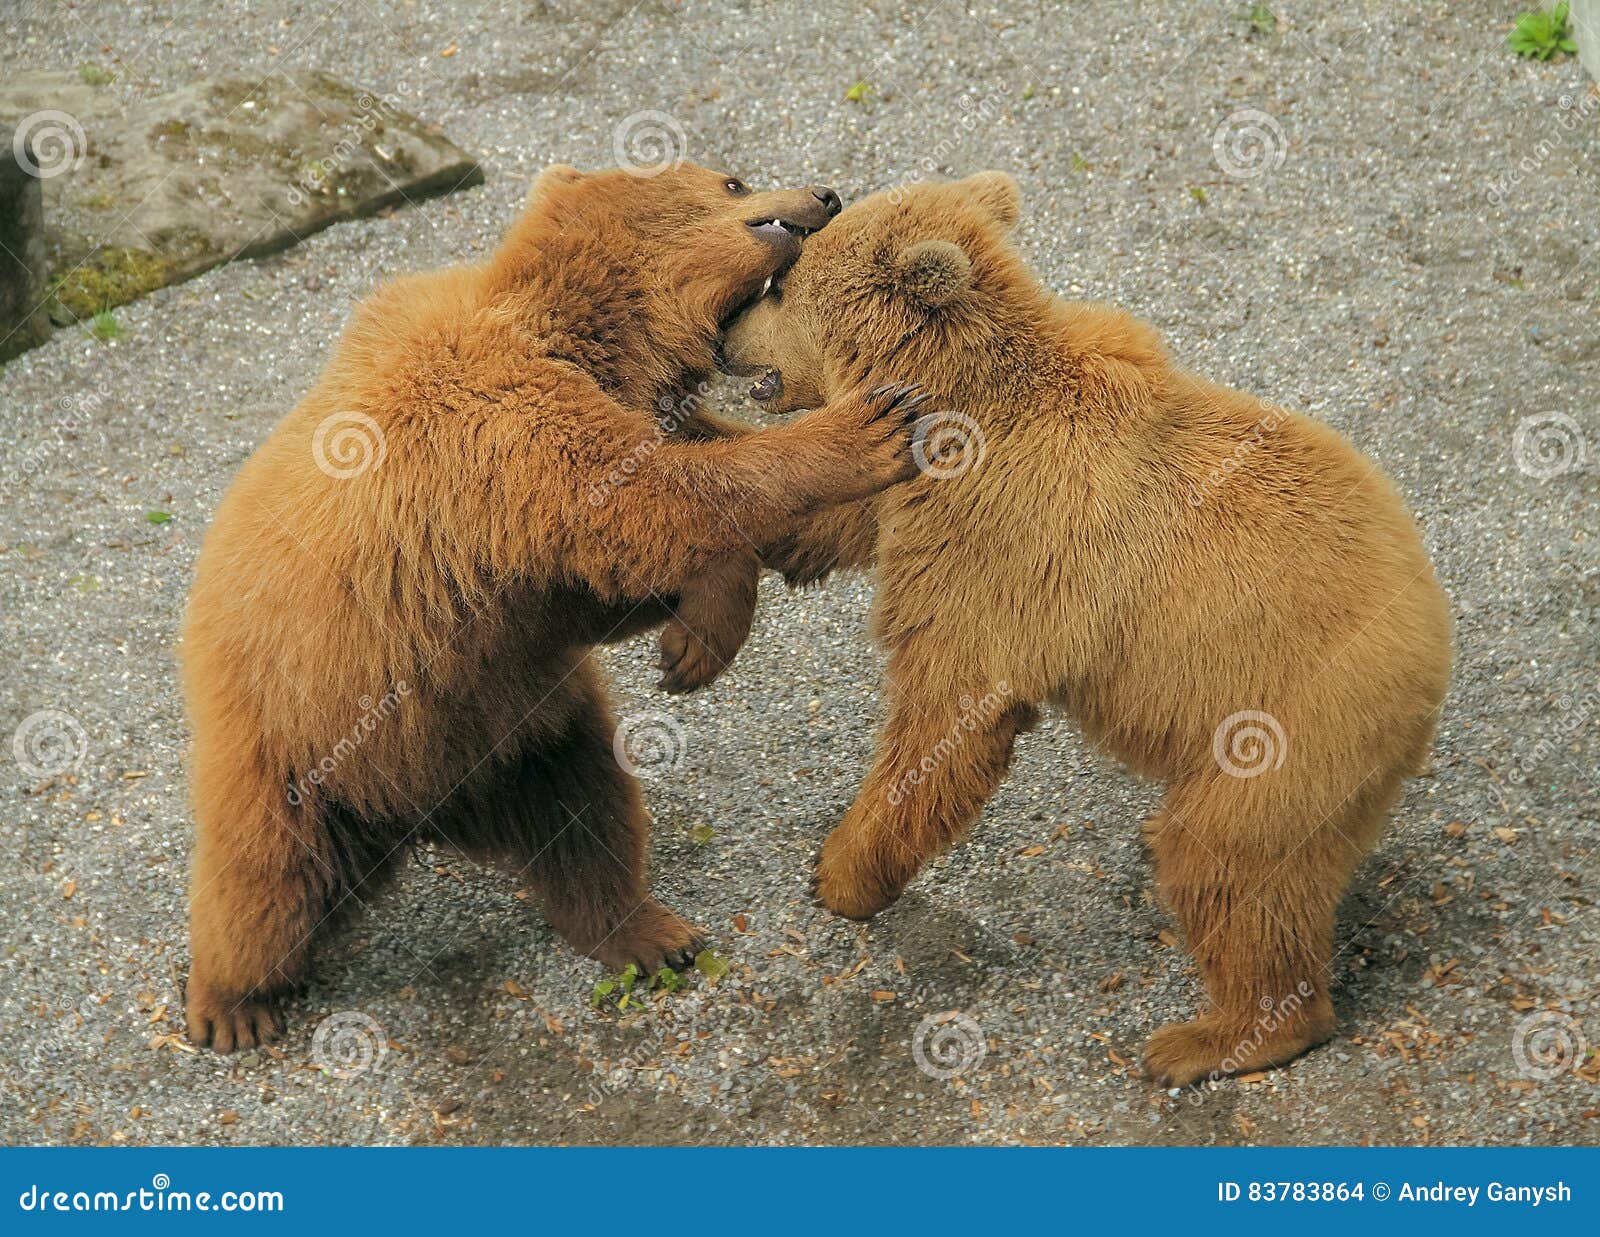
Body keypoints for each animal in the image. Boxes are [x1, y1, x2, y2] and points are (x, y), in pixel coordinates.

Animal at [181, 162, 929, 1053]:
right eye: (733, 178)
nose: (825, 195)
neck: (594, 333)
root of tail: (422, 815)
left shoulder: (514, 573)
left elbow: (610, 569)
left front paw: (694, 639)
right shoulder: (495, 427)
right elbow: (650, 499)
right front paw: (875, 424)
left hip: (519, 728)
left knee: (587, 815)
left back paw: (649, 932)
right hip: (295, 745)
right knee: (265, 884)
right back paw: (230, 1004)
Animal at [717, 172, 1454, 1087]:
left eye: (781, 285)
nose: (722, 338)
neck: (956, 406)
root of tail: (1434, 644)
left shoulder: (1002, 547)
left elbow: (947, 719)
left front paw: (841, 873)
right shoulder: (914, 497)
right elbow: (837, 511)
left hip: (1291, 719)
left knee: (1230, 867)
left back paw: (1210, 1038)